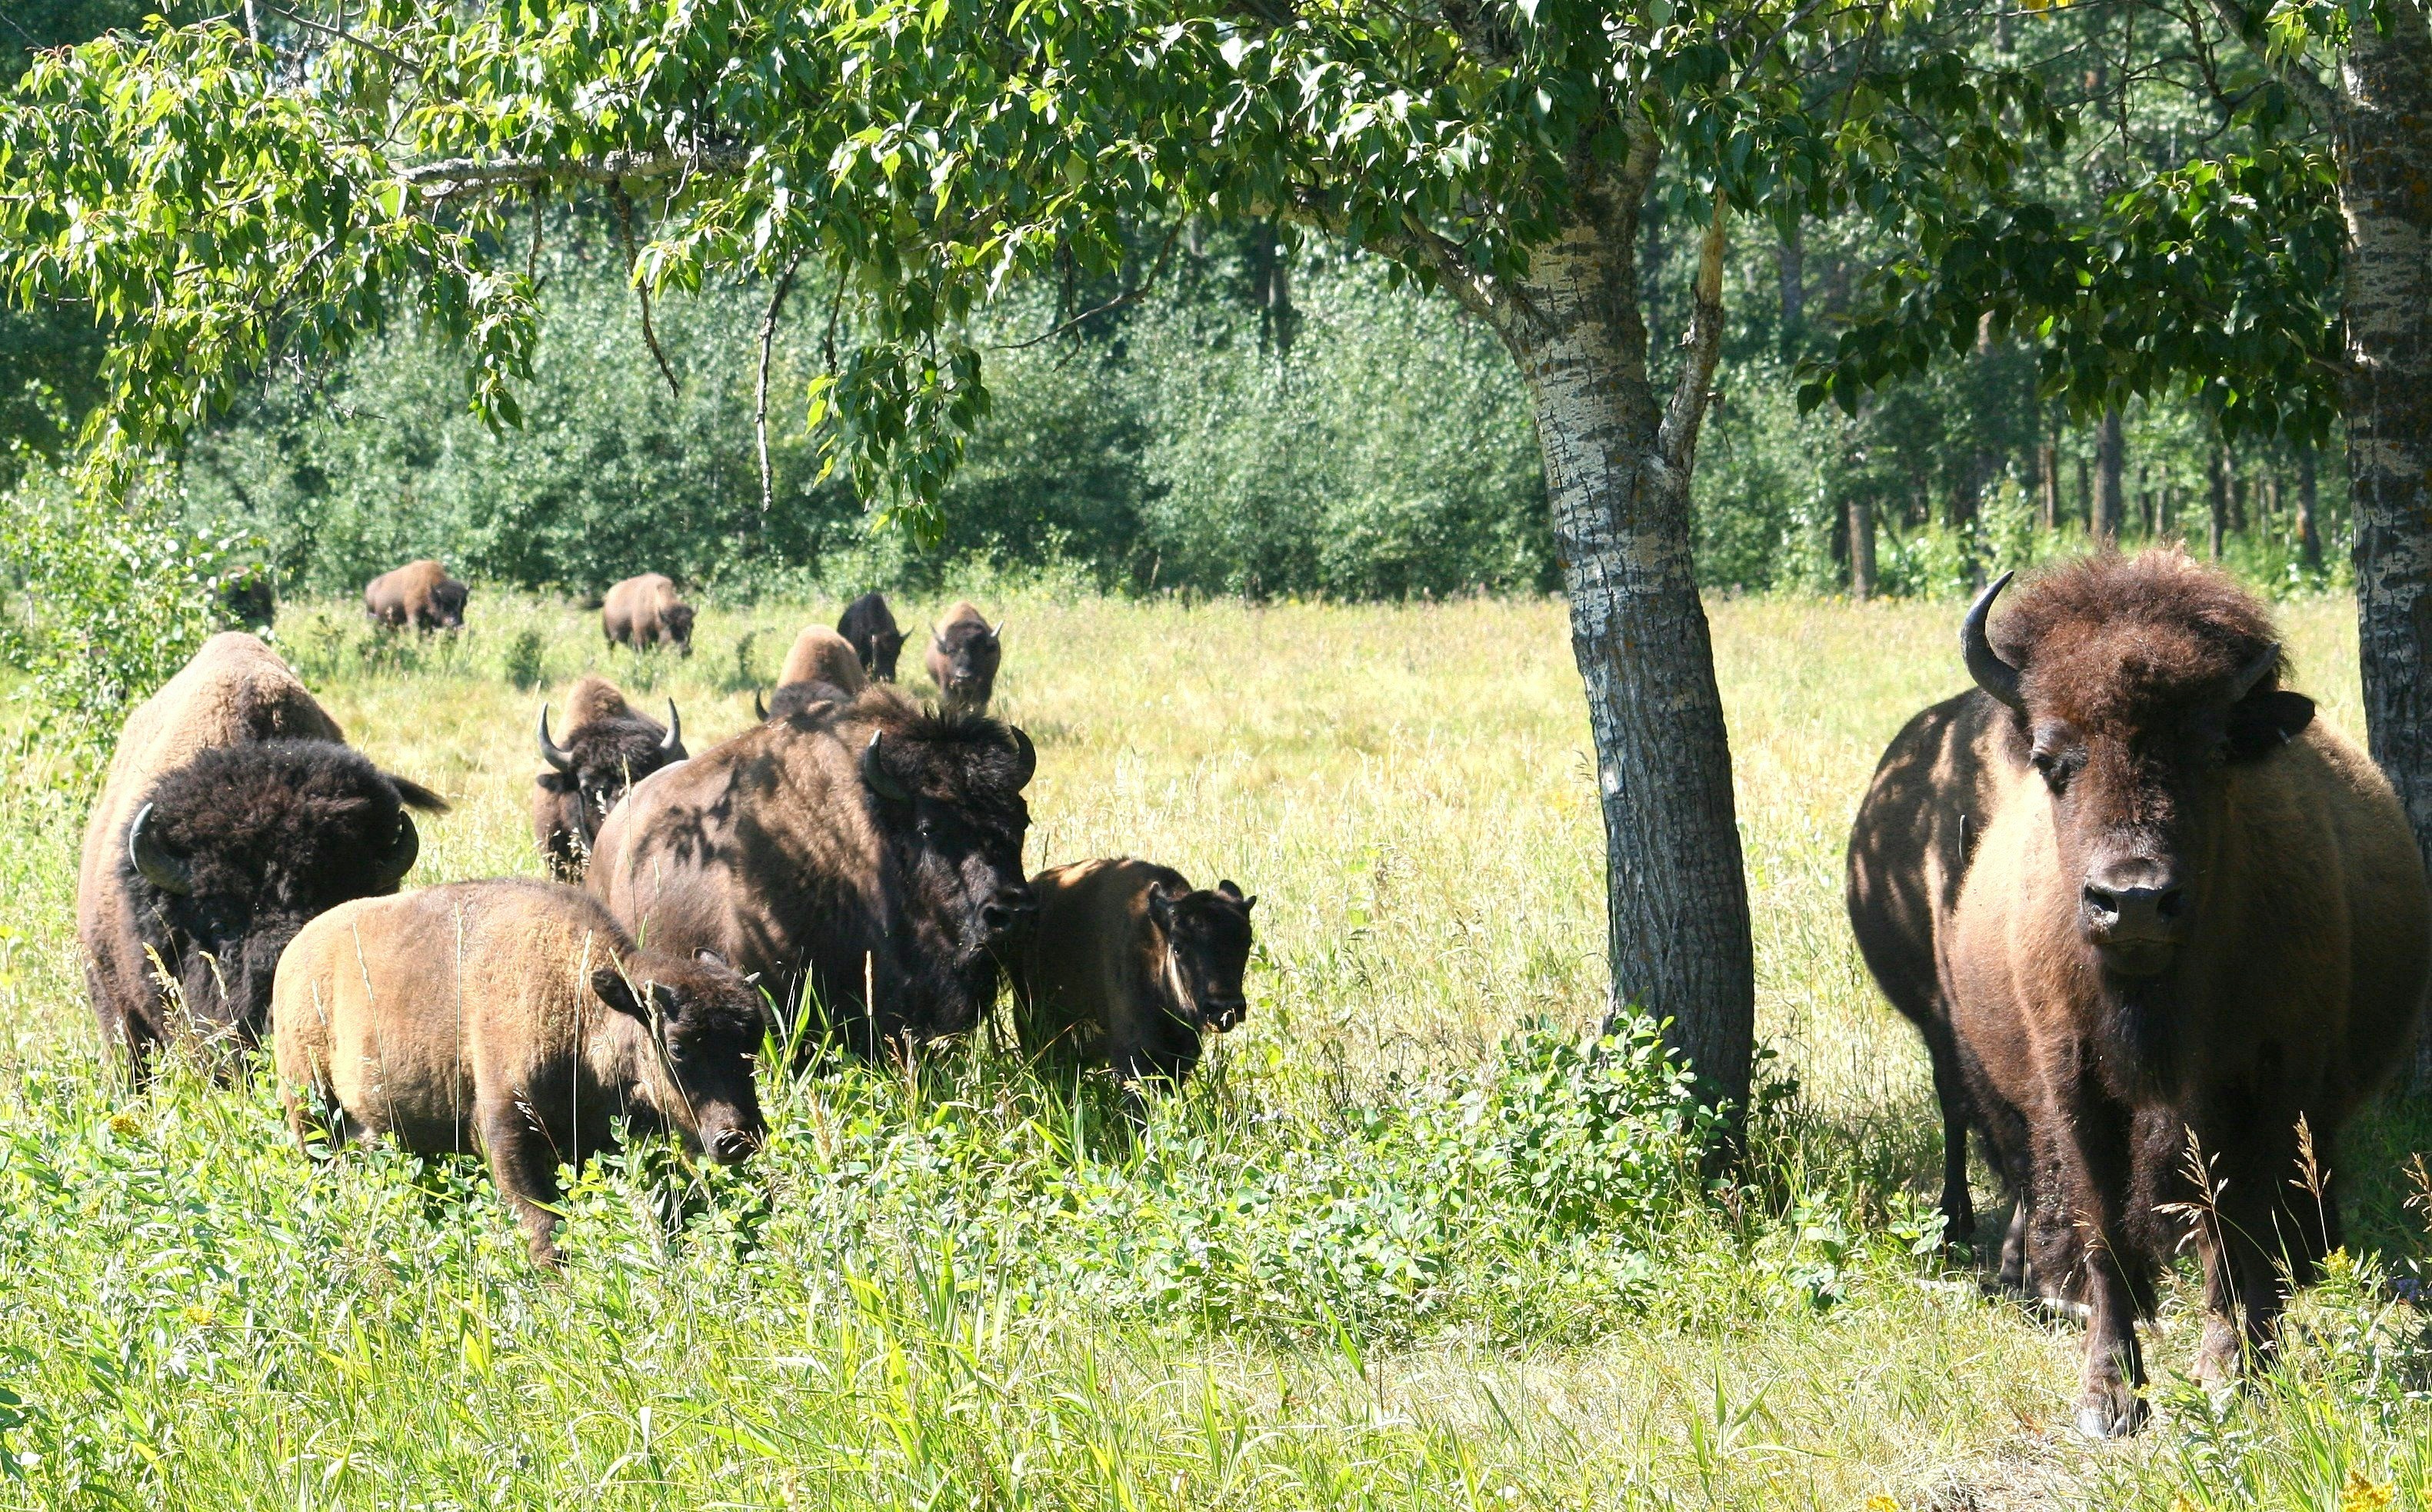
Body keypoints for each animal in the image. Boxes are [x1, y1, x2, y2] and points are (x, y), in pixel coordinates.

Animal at [272, 879, 764, 1266]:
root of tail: (294, 955)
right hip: (311, 1110)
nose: (738, 1138)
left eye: (754, 1042)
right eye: (677, 1047)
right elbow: (542, 1226)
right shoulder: (506, 1134)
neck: (581, 1006)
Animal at [1941, 552, 2428, 1438]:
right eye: (2054, 759)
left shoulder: (2270, 1084)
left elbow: (2242, 1232)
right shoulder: (2076, 1087)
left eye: (2210, 750)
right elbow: (2106, 1229)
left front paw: (2239, 1377)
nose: (2133, 901)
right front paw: (2109, 1398)